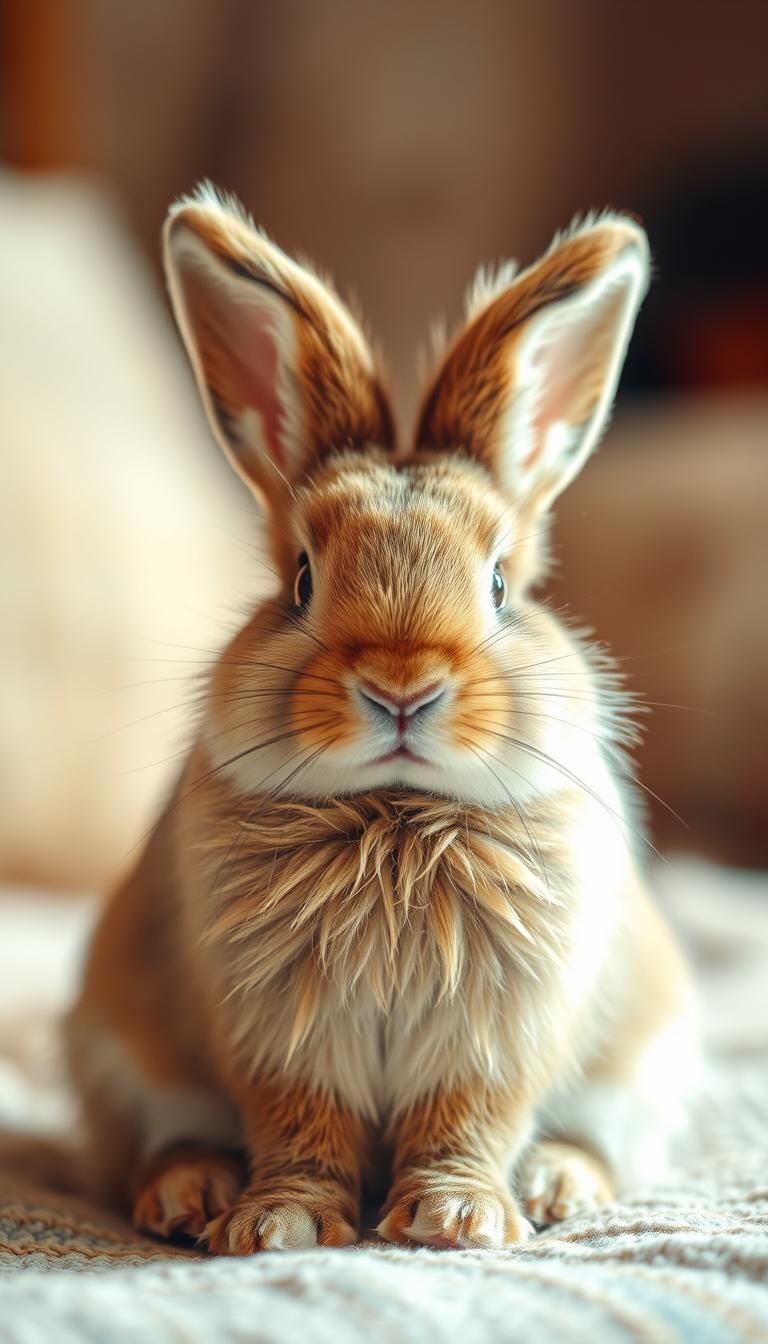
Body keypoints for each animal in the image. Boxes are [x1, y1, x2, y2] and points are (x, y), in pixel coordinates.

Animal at [66, 185, 699, 1253]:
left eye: (500, 585)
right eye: (301, 582)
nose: (402, 689)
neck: (396, 812)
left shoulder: (492, 1040)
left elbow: (466, 1122)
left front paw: (455, 1221)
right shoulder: (280, 1039)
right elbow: (301, 1130)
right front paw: (280, 1226)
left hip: (639, 1071)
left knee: (601, 1144)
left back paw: (557, 1189)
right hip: (126, 1054)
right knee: (152, 1144)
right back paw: (189, 1197)